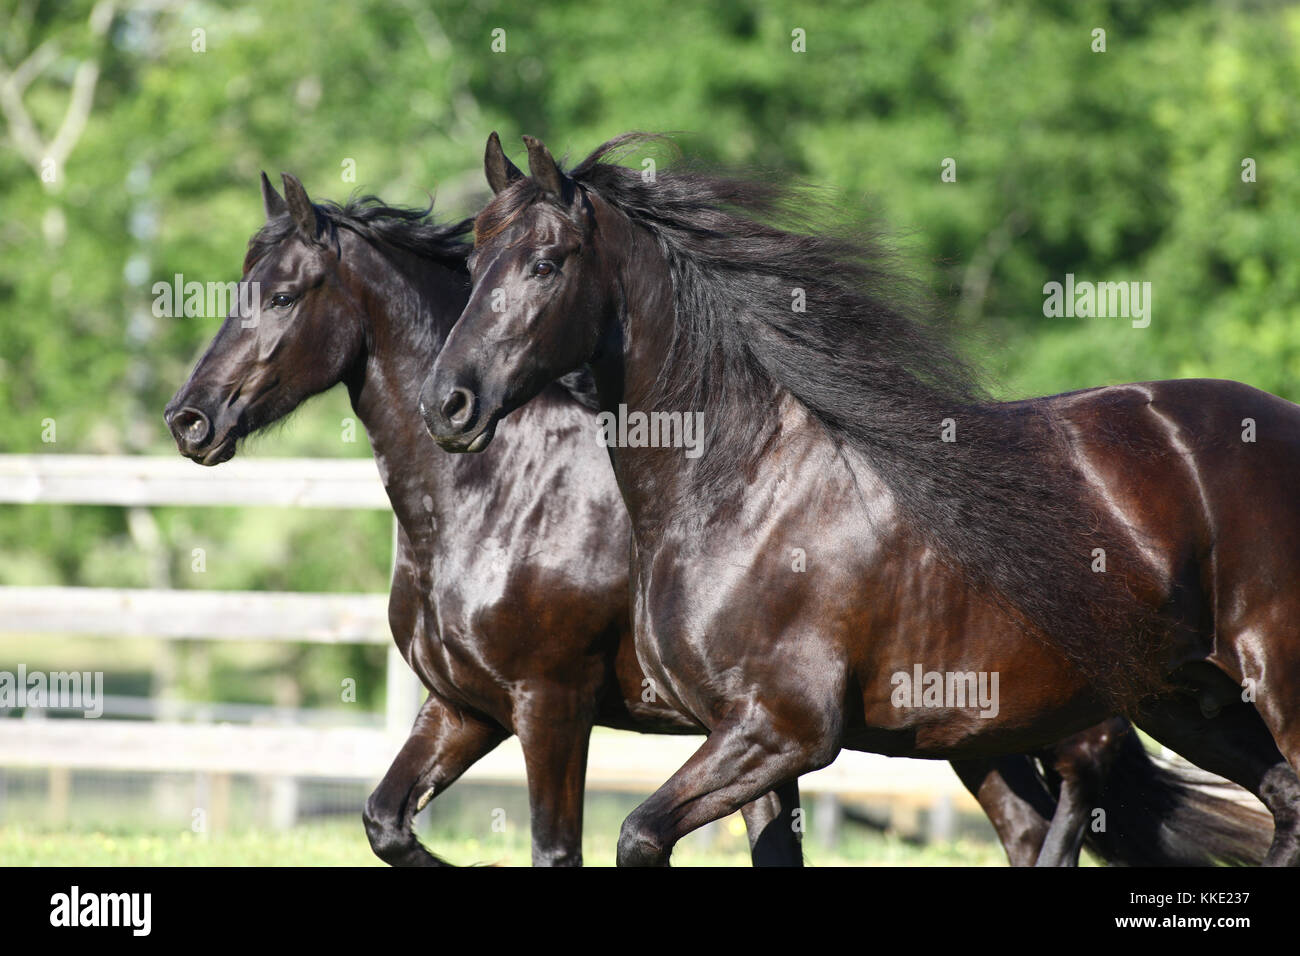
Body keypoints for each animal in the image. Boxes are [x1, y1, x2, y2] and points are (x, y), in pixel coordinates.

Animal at [420, 132, 1284, 866]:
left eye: (546, 262)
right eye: (474, 257)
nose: (446, 403)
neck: (745, 487)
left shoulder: (784, 730)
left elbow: (636, 834)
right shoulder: (746, 742)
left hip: (1258, 683)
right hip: (1184, 703)